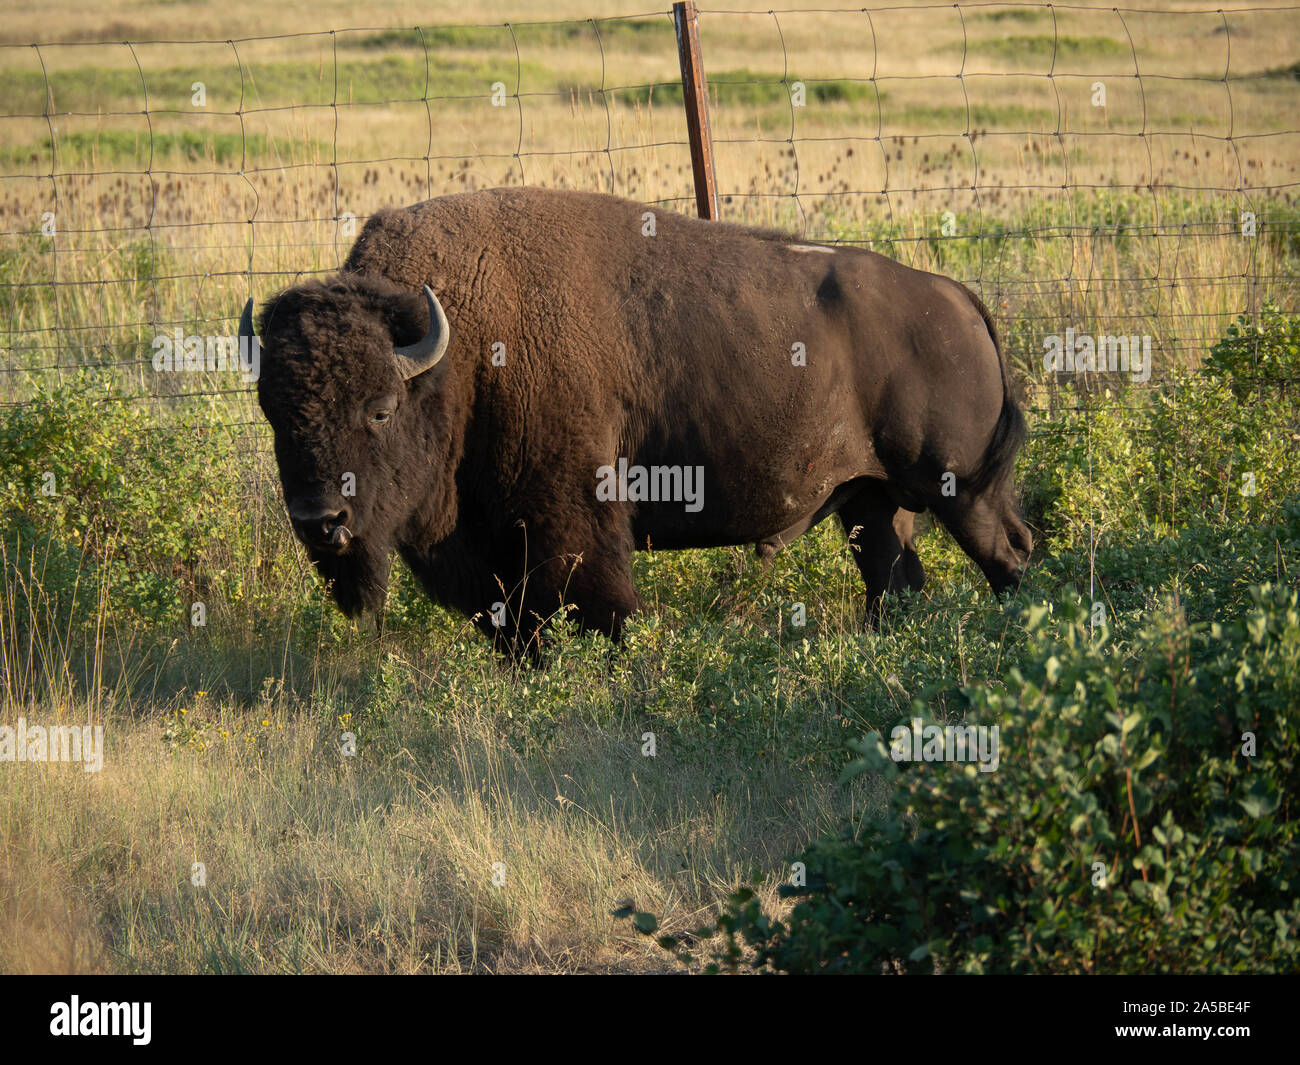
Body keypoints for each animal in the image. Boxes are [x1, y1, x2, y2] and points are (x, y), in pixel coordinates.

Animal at [245, 187, 1031, 652]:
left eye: (379, 408)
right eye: (274, 415)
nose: (320, 522)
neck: (460, 353)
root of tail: (957, 297)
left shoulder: (572, 520)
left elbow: (601, 605)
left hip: (961, 489)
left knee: (1009, 554)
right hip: (873, 500)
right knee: (894, 577)